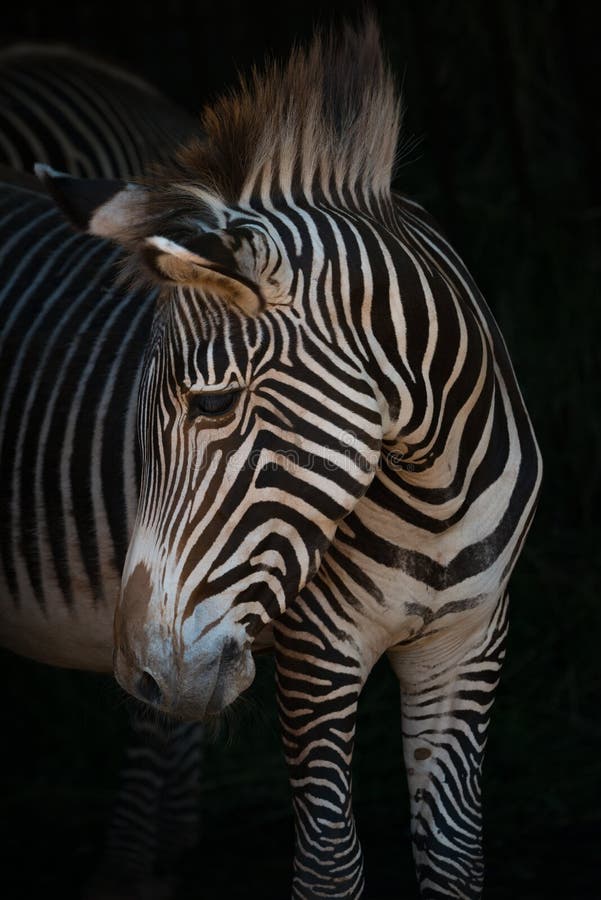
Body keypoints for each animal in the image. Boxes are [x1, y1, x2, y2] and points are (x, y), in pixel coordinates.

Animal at [35, 18, 542, 900]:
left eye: (210, 406)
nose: (139, 675)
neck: (435, 496)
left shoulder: (467, 645)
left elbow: (453, 857)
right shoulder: (314, 656)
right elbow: (330, 868)